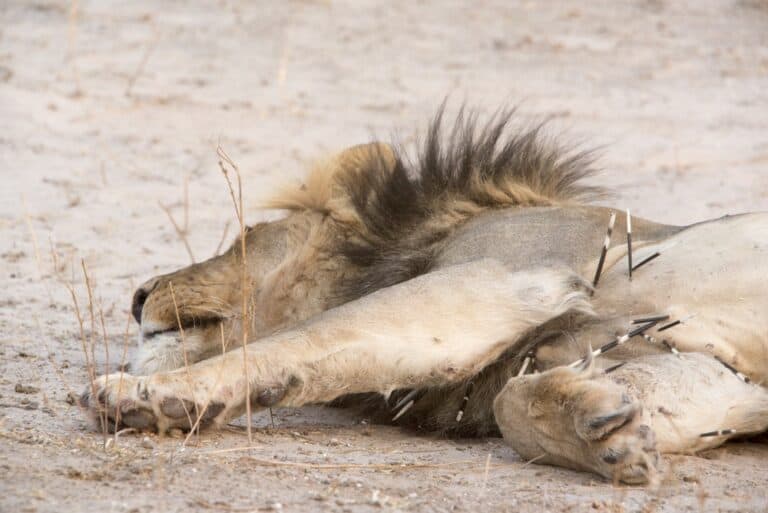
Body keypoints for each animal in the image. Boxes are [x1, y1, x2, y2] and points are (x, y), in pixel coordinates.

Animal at [81, 108, 768, 484]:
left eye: (246, 236)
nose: (137, 296)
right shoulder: (699, 366)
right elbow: (527, 400)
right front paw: (606, 435)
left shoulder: (500, 275)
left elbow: (312, 334)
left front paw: (143, 396)